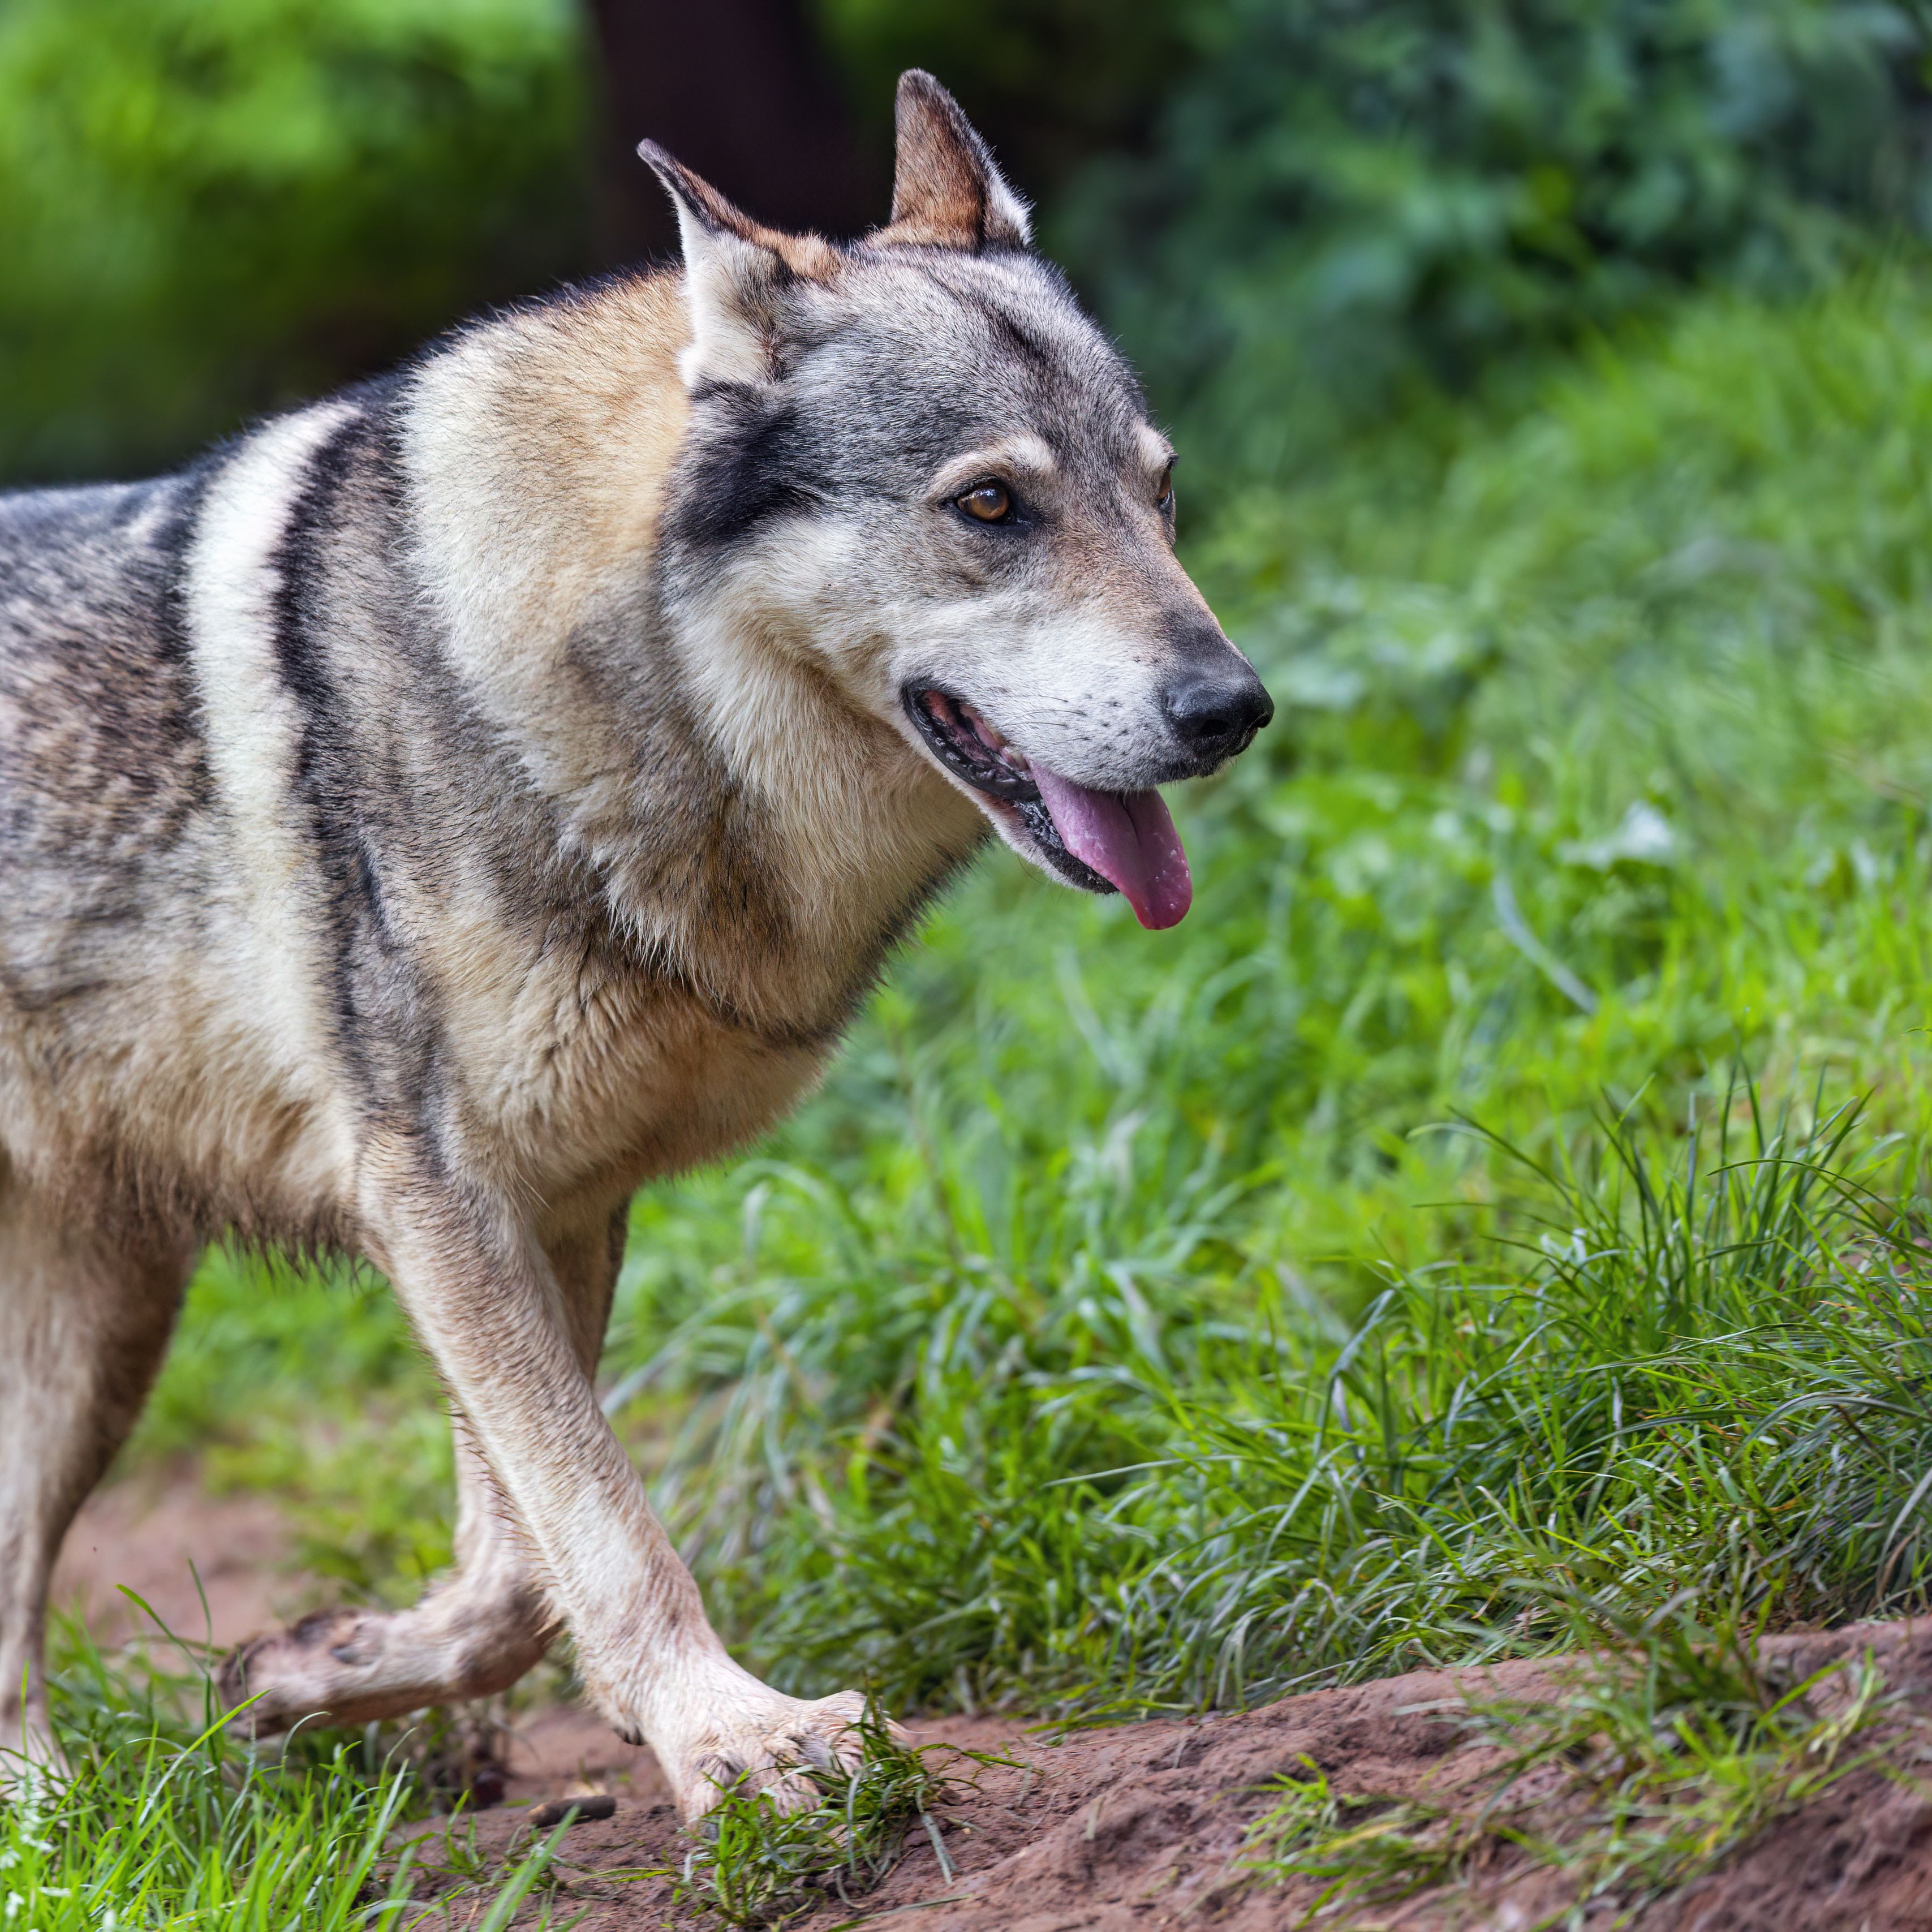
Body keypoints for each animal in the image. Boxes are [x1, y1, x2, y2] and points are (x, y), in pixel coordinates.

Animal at [0, 73, 1270, 1818]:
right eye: (990, 505)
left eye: (1155, 491)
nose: (1232, 708)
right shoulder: (437, 1191)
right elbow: (602, 1525)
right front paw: (738, 1739)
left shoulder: (560, 1203)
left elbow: (518, 1571)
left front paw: (325, 1670)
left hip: (106, 1329)